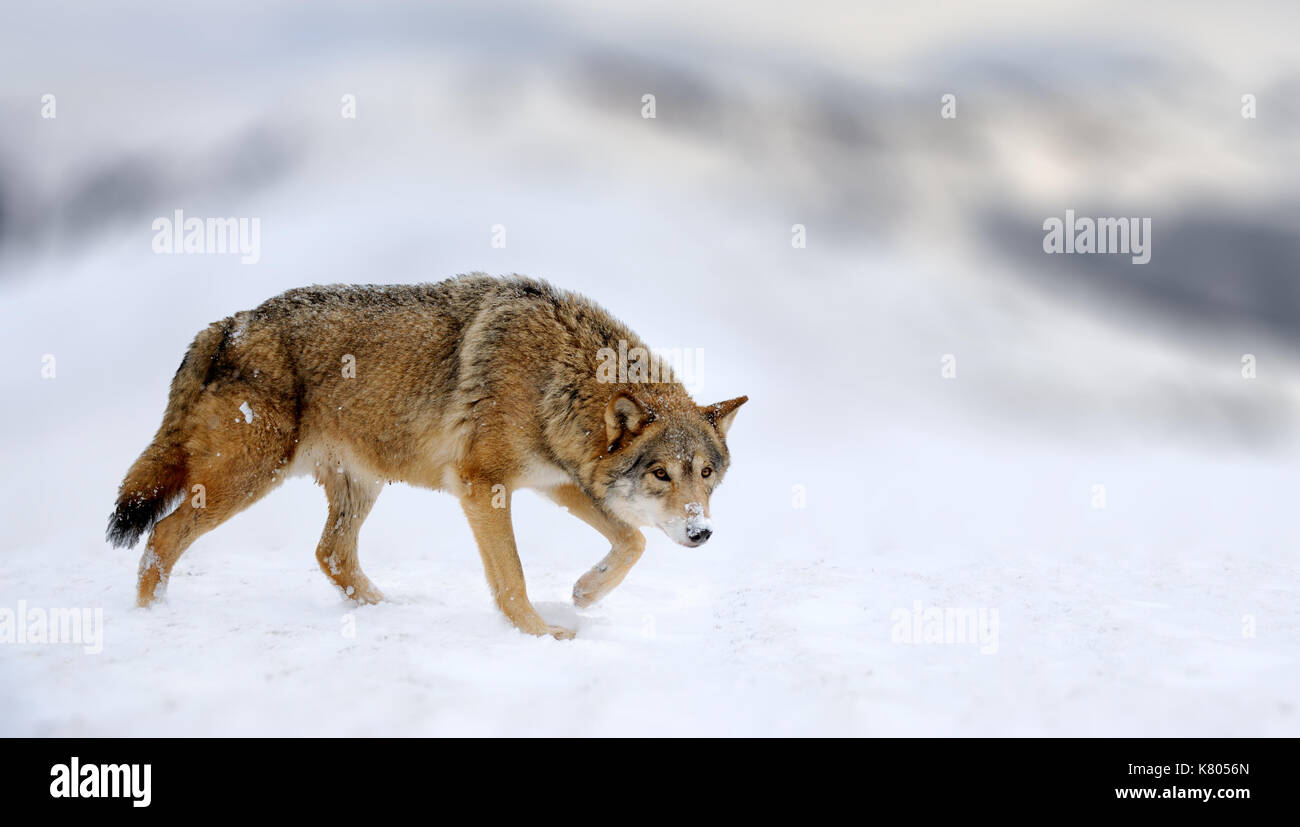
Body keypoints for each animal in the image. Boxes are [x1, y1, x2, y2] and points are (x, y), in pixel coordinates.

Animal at [106, 274, 746, 639]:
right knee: (162, 535)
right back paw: (153, 621)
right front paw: (540, 636)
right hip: (246, 480)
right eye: (661, 473)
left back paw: (390, 611)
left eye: (706, 474)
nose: (702, 532)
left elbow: (632, 541)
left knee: (331, 555)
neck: (557, 379)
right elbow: (512, 579)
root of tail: (226, 325)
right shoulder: (482, 486)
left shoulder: (558, 481)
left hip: (358, 487)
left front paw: (585, 594)